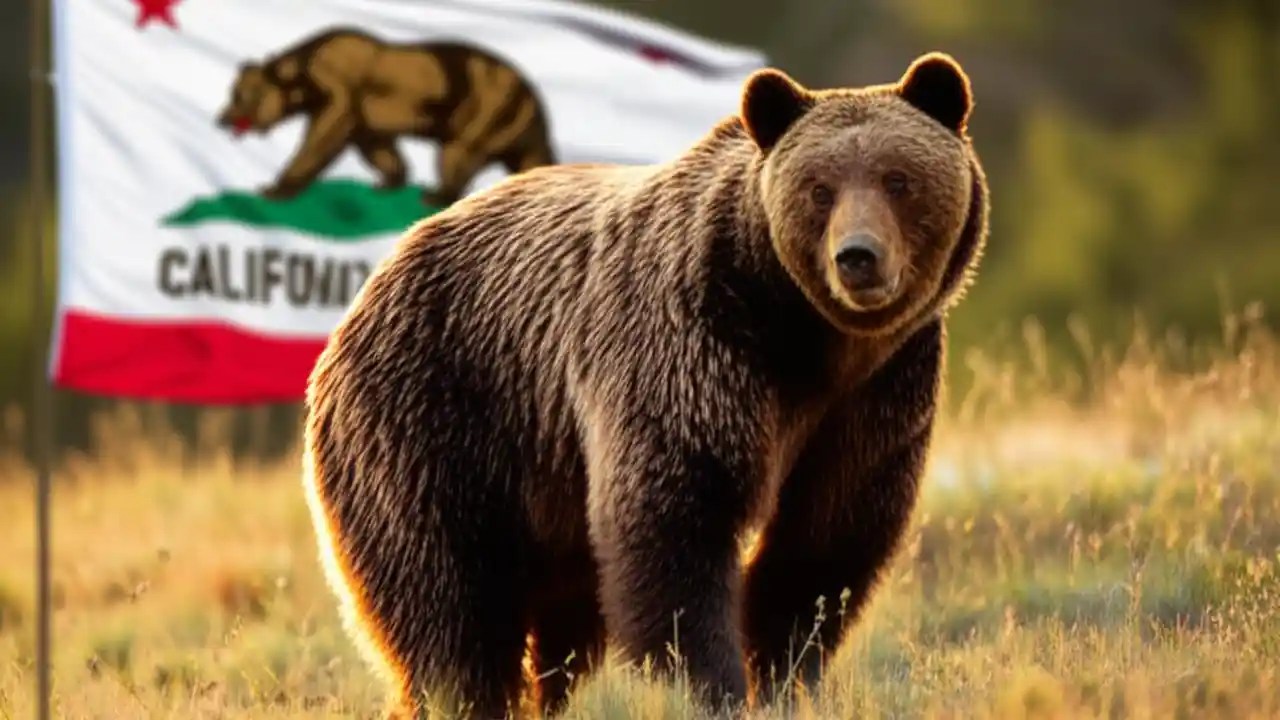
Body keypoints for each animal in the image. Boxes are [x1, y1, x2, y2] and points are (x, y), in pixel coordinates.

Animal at [216, 28, 556, 206]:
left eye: (240, 95)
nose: (221, 119)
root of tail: (533, 100)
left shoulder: (341, 92)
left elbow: (321, 139)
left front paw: (274, 188)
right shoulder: (366, 116)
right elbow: (377, 147)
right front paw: (389, 180)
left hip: (481, 109)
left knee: (457, 155)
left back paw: (436, 196)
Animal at [301, 51, 989, 720]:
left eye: (898, 178)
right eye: (819, 188)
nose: (857, 257)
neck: (806, 336)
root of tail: (368, 290)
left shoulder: (877, 391)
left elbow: (826, 538)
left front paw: (788, 677)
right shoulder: (691, 346)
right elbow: (676, 519)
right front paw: (709, 686)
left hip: (544, 485)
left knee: (564, 616)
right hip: (436, 413)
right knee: (445, 598)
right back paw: (462, 696)